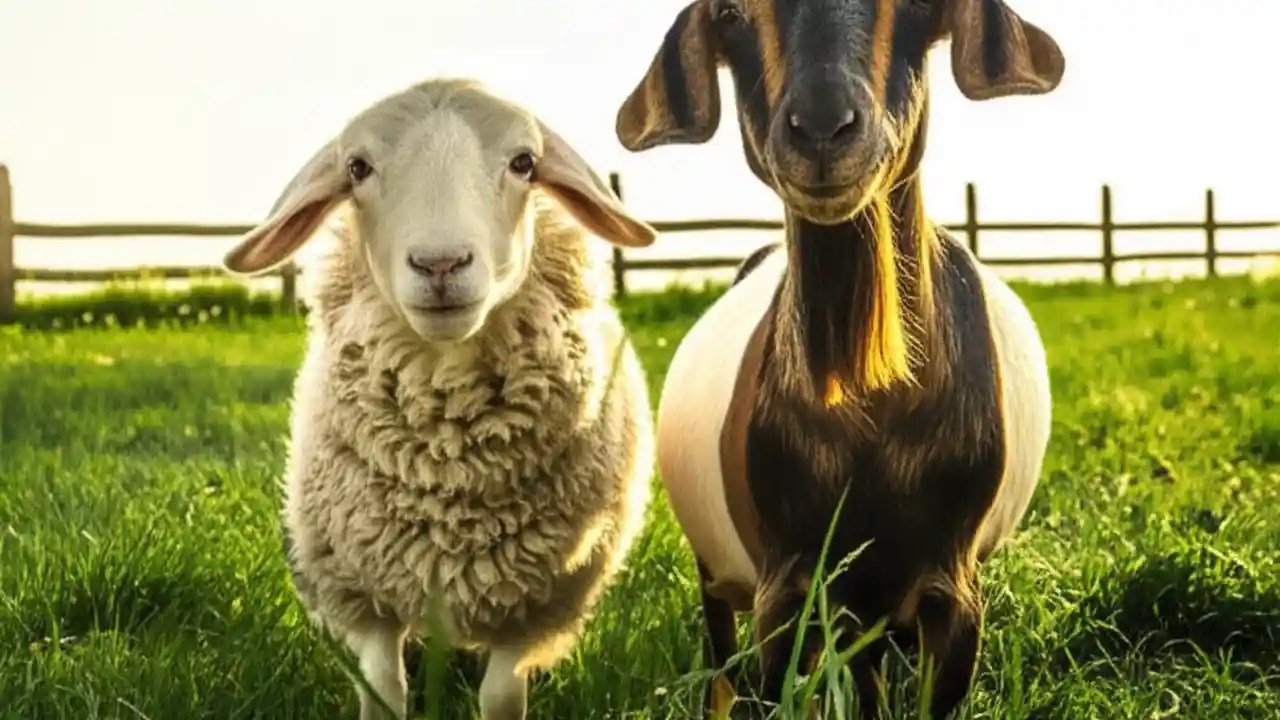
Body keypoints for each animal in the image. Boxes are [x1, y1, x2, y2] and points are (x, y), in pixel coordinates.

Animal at [220, 77, 658, 720]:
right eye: (357, 167)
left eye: (524, 163)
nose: (440, 263)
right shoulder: (365, 592)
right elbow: (383, 690)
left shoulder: (535, 602)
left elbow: (500, 696)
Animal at [613, 0, 1064, 717]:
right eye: (730, 15)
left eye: (923, 8)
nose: (823, 128)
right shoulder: (786, 589)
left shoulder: (953, 595)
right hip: (722, 576)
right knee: (722, 667)